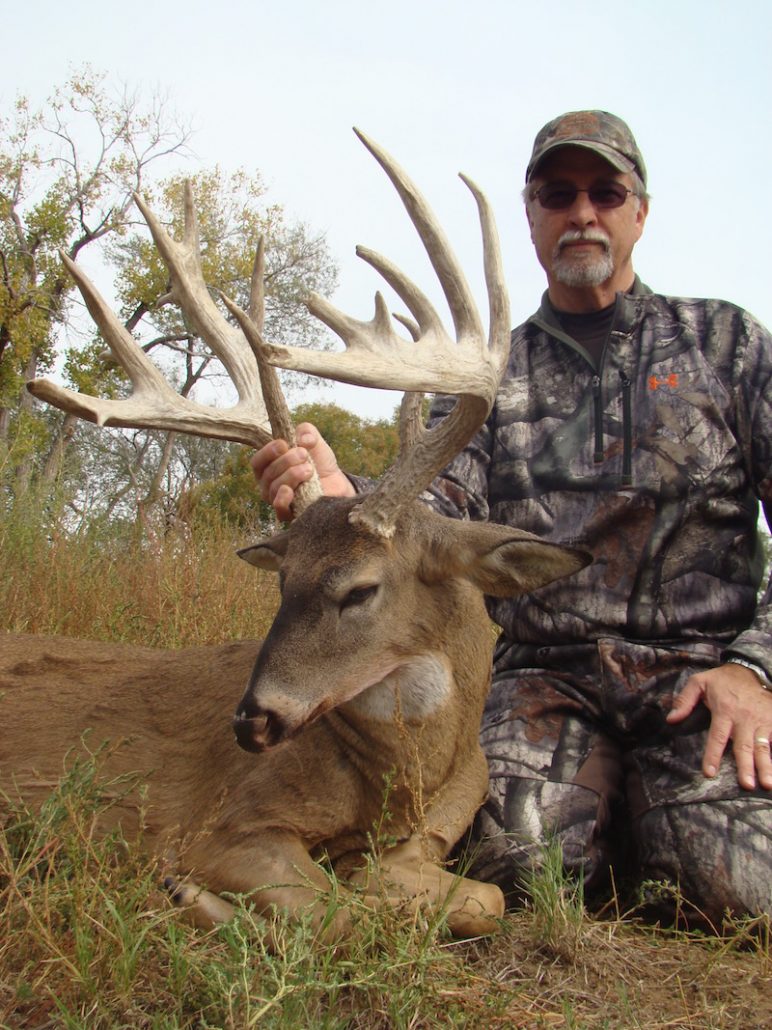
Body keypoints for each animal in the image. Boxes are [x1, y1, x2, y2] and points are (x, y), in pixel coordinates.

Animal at [0, 131, 590, 943]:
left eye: (361, 589)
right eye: (281, 582)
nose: (251, 720)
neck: (405, 784)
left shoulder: (438, 828)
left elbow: (477, 897)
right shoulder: (228, 823)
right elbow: (347, 916)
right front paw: (188, 892)